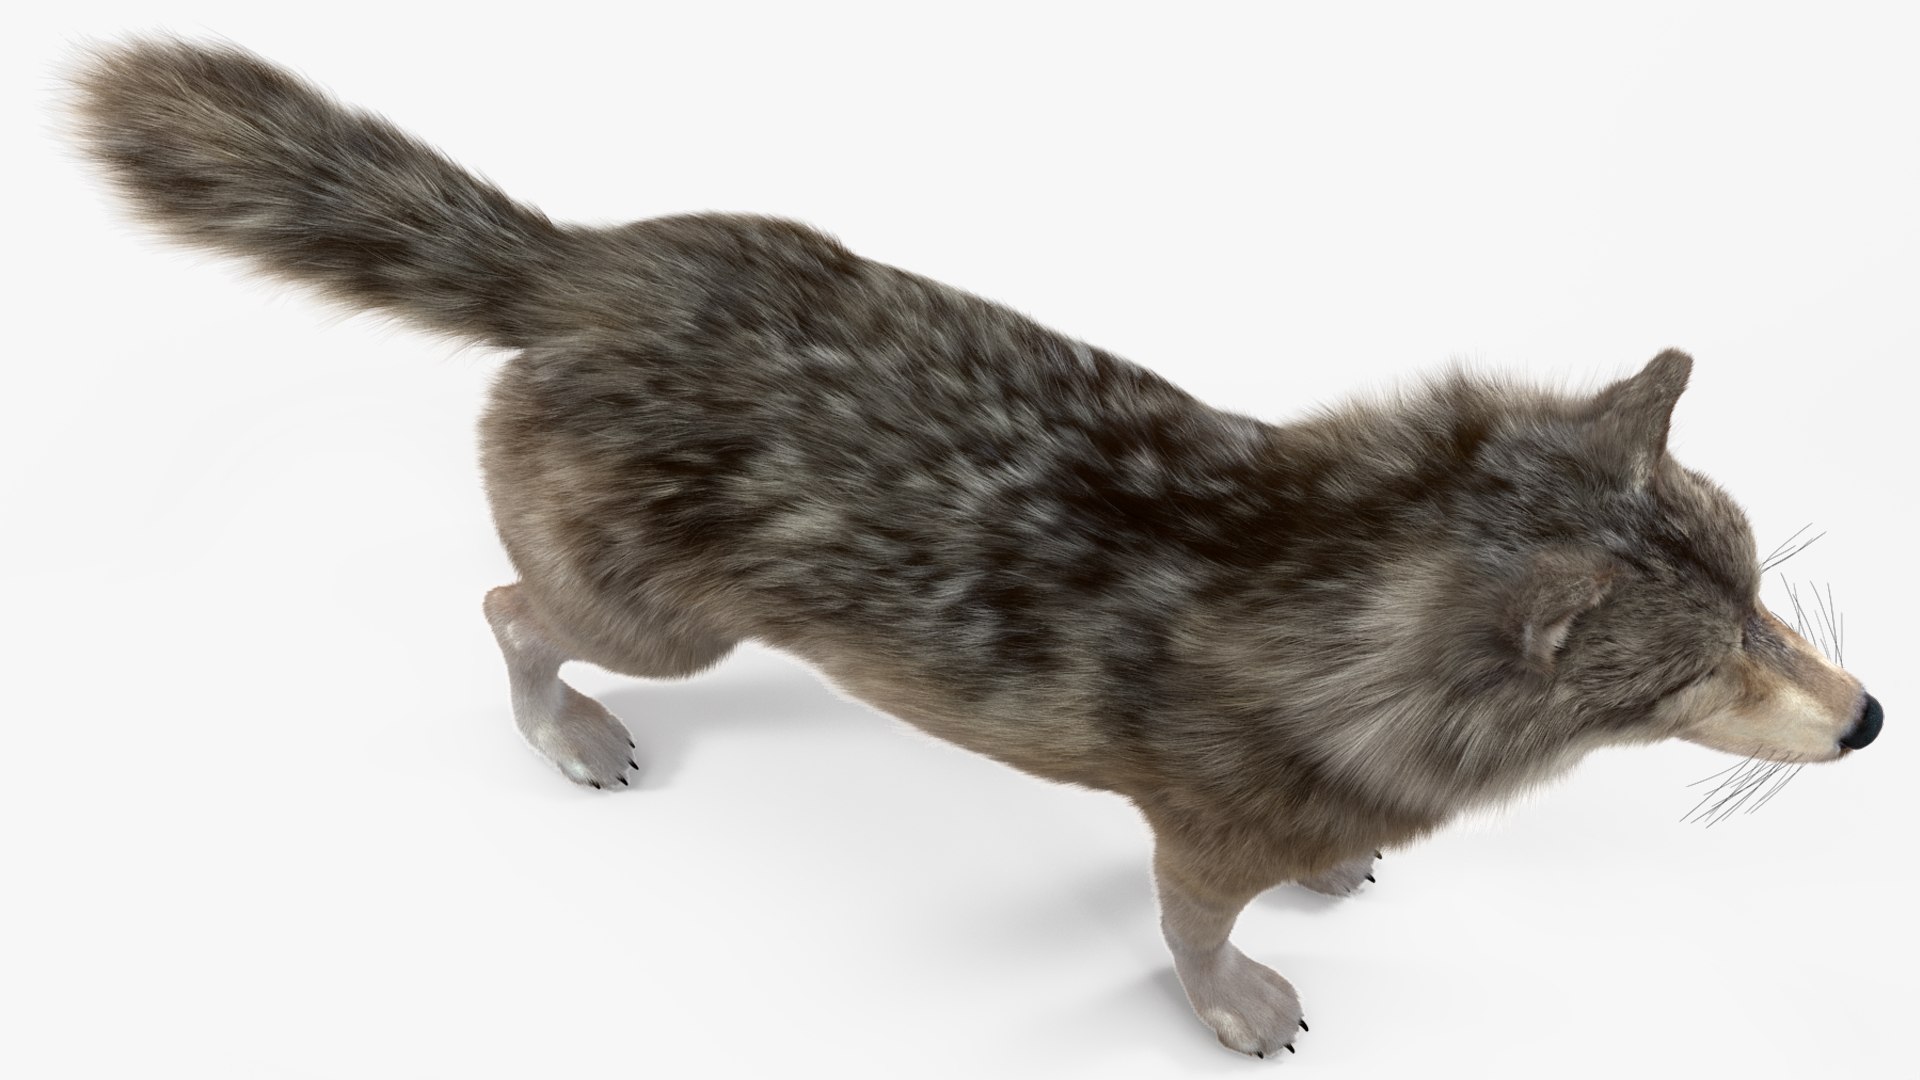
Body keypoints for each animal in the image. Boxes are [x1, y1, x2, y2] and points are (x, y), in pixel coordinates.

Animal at [69, 38, 1883, 1058]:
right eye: (1700, 672)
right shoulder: (1199, 827)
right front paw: (1232, 998)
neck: (1337, 570)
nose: (1869, 718)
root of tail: (589, 268)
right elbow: (1190, 922)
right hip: (666, 621)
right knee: (512, 601)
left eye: (1761, 608)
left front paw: (1335, 874)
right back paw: (563, 722)